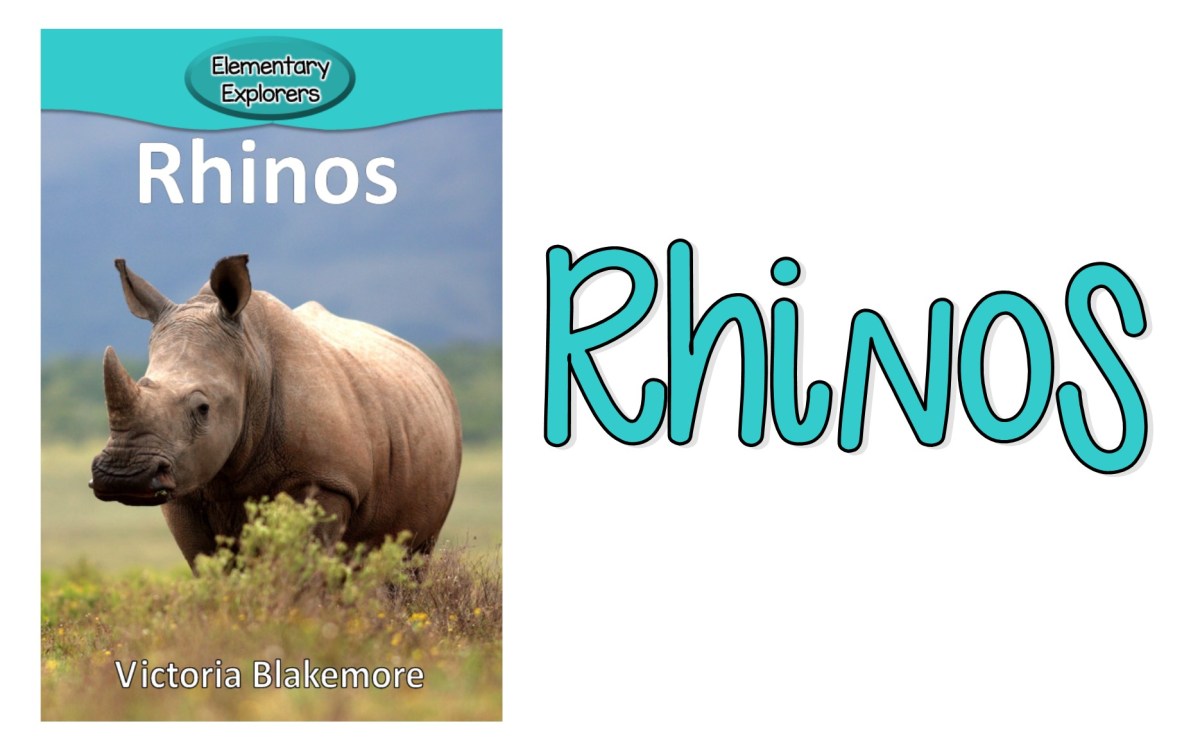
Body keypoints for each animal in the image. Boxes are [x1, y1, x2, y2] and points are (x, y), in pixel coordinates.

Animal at [89, 255, 462, 571]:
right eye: (142, 384)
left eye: (203, 408)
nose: (124, 476)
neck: (252, 361)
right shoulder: (185, 491)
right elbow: (212, 568)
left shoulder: (325, 480)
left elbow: (303, 568)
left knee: (409, 560)